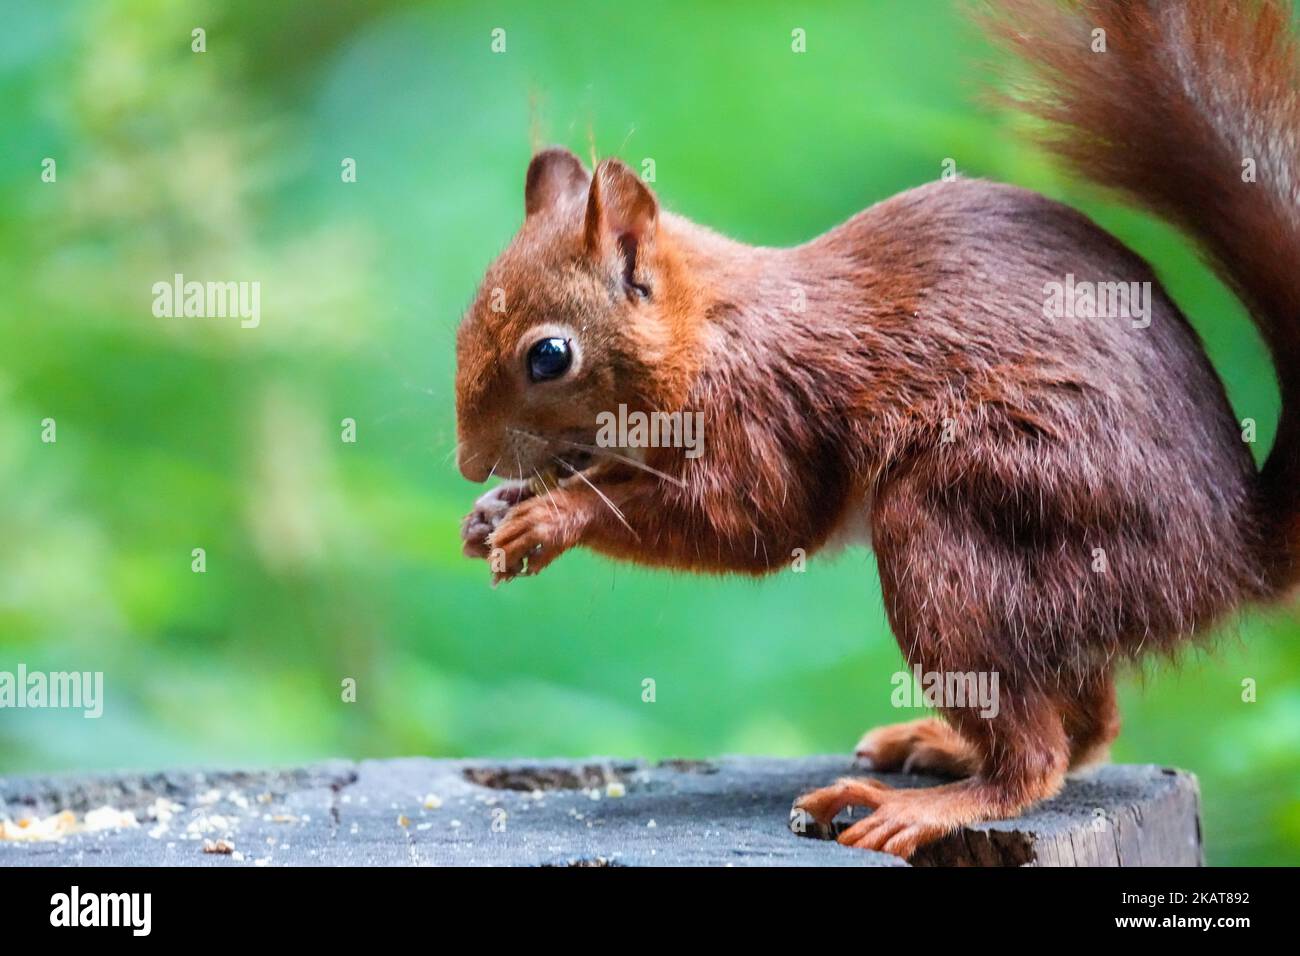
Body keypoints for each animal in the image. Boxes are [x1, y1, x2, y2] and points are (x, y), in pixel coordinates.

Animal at [454, 0, 1300, 859]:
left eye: (550, 355)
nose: (469, 462)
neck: (710, 331)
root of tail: (1229, 555)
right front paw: (493, 514)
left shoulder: (768, 417)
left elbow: (751, 521)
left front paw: (552, 517)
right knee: (1090, 728)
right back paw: (942, 745)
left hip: (981, 518)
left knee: (1037, 759)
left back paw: (928, 803)